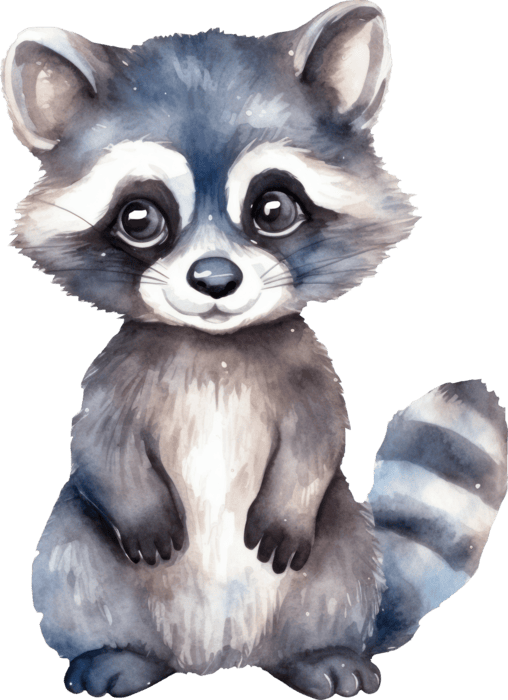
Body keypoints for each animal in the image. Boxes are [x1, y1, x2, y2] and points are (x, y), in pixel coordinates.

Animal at [2, 1, 506, 698]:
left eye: (273, 208)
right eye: (139, 218)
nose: (215, 279)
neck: (217, 347)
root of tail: (217, 658)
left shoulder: (307, 369)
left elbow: (319, 437)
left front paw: (292, 499)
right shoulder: (118, 372)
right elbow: (97, 441)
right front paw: (136, 503)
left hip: (339, 553)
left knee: (338, 564)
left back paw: (317, 655)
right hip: (80, 553)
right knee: (73, 562)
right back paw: (122, 652)